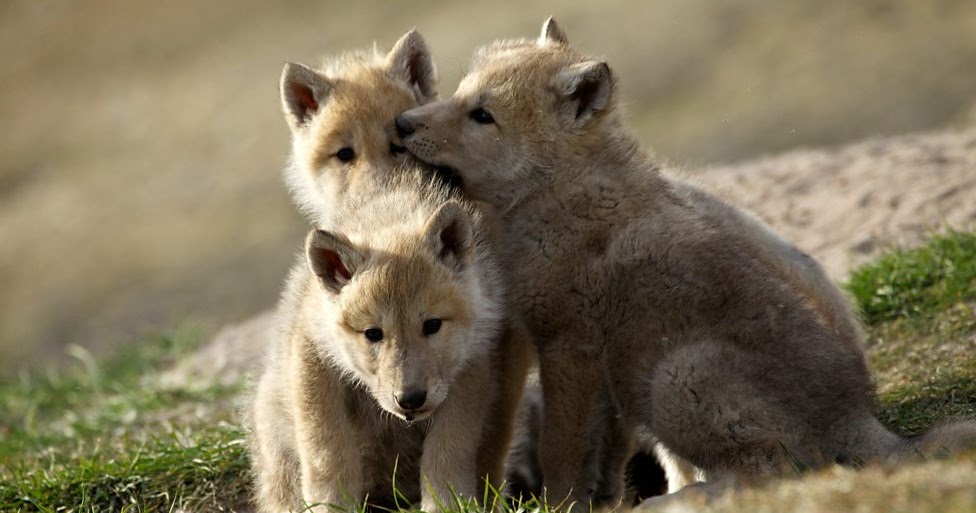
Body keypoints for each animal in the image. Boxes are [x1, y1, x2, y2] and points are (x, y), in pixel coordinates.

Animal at [396, 17, 976, 506]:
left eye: (483, 115)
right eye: (461, 92)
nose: (402, 123)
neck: (561, 188)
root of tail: (859, 420)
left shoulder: (569, 348)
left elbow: (562, 452)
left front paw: (560, 505)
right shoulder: (605, 375)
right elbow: (604, 454)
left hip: (678, 377)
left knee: (772, 471)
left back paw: (679, 500)